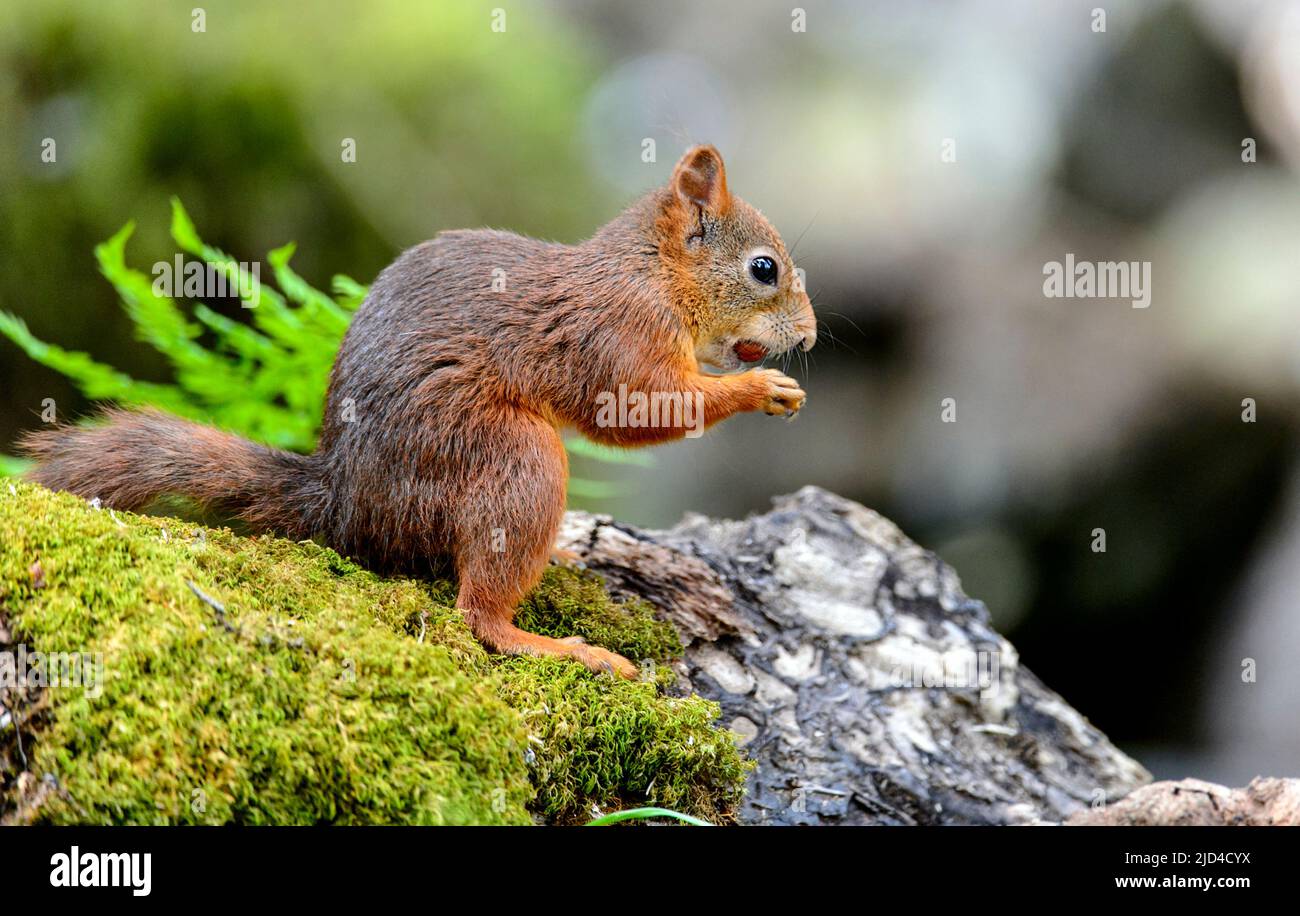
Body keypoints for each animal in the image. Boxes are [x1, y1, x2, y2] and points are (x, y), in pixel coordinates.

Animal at [22, 145, 816, 678]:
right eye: (764, 269)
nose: (809, 337)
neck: (653, 275)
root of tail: (344, 503)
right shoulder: (621, 336)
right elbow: (645, 409)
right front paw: (763, 389)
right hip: (511, 455)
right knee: (479, 615)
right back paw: (555, 645)